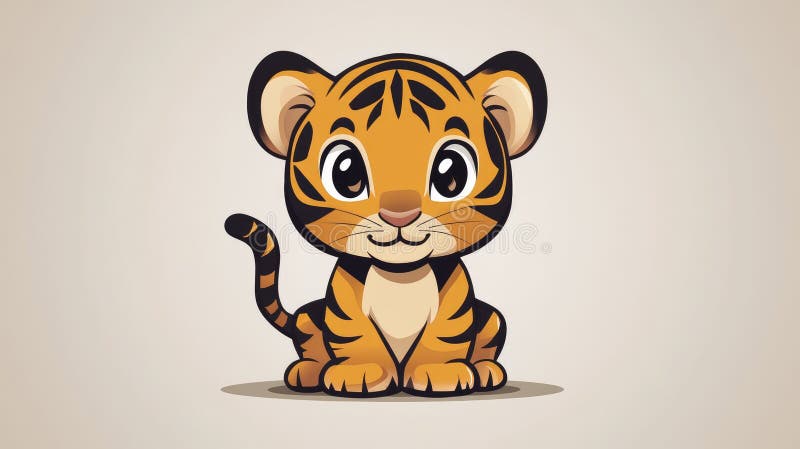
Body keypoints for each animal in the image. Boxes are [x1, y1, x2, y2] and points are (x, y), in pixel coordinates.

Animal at [224, 51, 547, 397]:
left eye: (451, 173)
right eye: (347, 173)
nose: (399, 215)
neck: (400, 274)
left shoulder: (456, 304)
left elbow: (444, 337)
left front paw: (441, 373)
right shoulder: (343, 304)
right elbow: (356, 336)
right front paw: (359, 373)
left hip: (491, 318)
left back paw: (487, 371)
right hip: (308, 316)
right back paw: (307, 372)